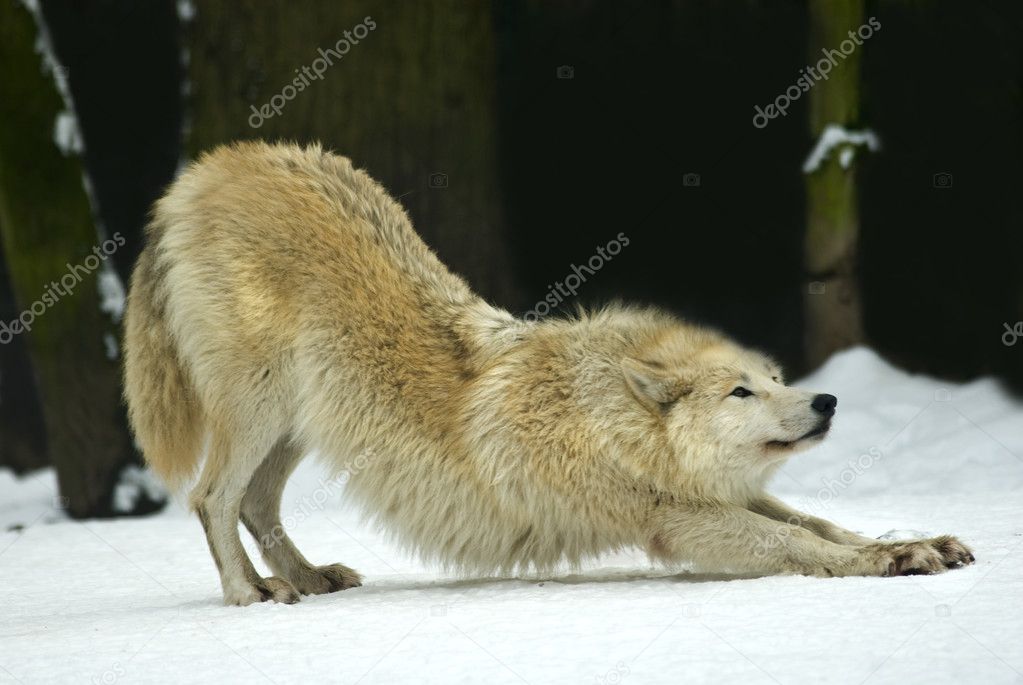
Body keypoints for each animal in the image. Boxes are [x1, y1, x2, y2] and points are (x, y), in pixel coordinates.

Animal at [123, 141, 974, 605]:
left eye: (774, 377)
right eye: (740, 391)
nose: (825, 399)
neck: (602, 413)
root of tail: (203, 171)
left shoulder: (724, 493)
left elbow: (821, 523)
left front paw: (919, 540)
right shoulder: (680, 518)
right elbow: (801, 544)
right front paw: (889, 561)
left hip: (301, 421)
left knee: (256, 504)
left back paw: (308, 577)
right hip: (261, 408)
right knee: (211, 497)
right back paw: (251, 592)